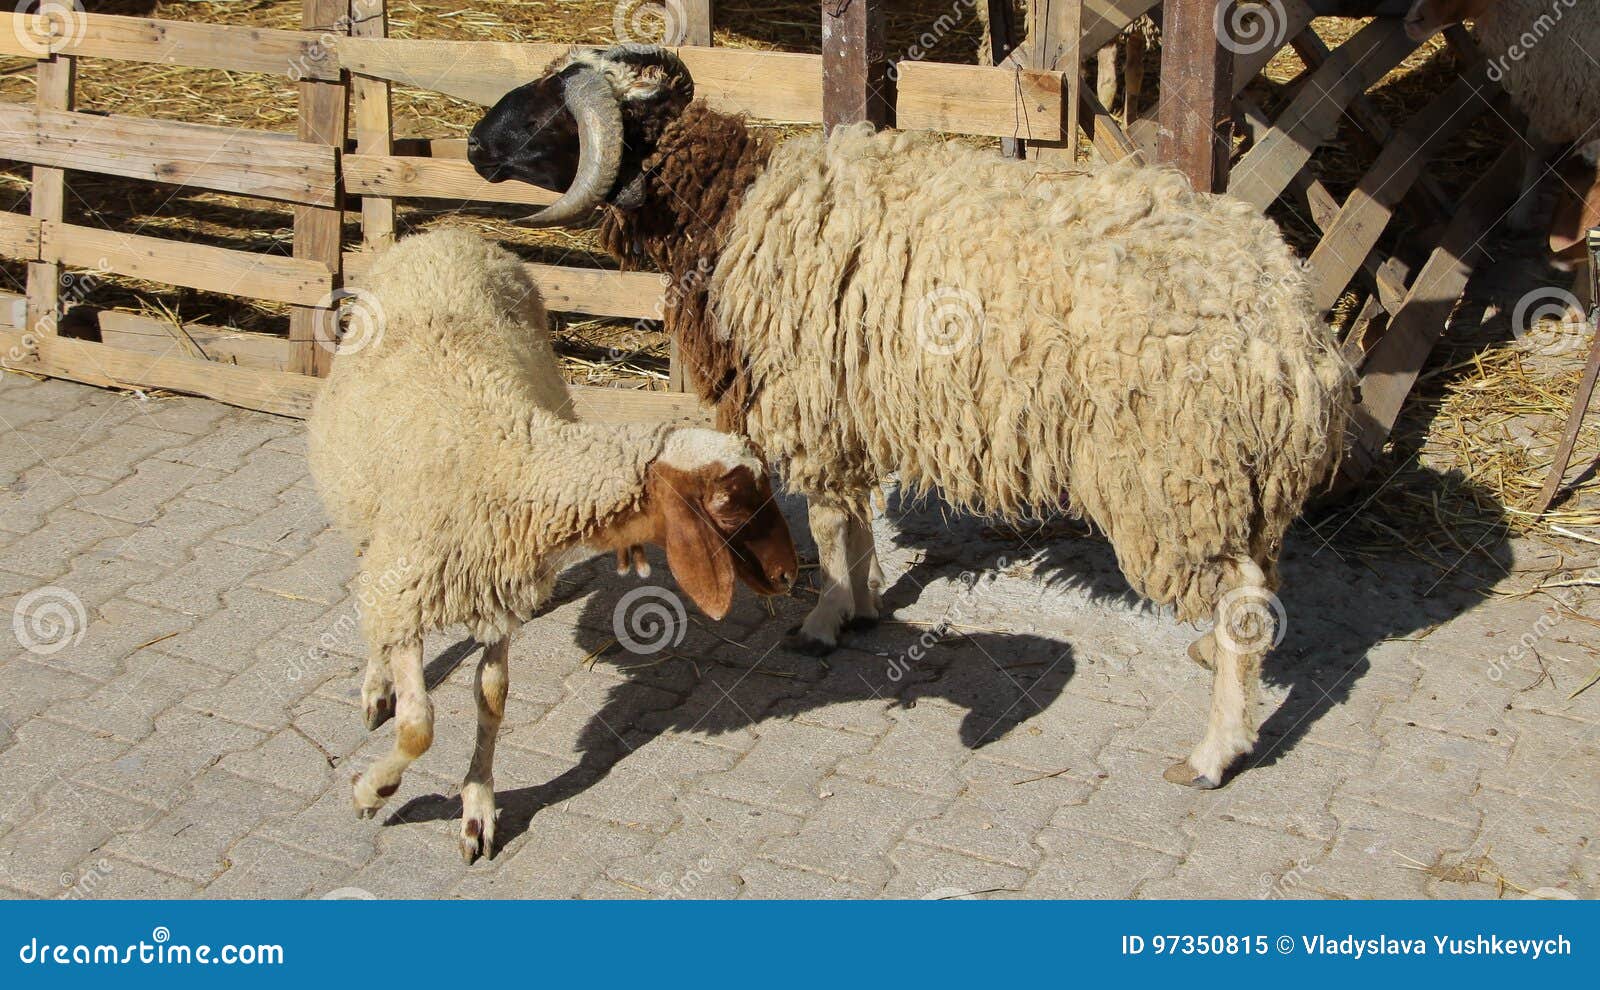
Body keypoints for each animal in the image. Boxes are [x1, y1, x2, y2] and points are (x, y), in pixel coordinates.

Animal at [306, 227, 797, 860]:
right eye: (731, 502)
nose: (789, 576)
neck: (505, 456)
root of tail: (444, 233)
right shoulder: (412, 581)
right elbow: (418, 727)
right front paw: (373, 790)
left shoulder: (496, 590)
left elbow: (491, 699)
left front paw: (478, 808)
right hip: (366, 511)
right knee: (370, 596)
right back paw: (375, 684)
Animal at [467, 45, 1353, 790]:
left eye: (551, 111)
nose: (474, 144)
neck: (737, 207)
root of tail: (1292, 325)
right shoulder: (847, 406)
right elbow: (857, 523)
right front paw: (861, 605)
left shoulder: (810, 401)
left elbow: (829, 526)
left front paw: (823, 621)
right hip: (1236, 479)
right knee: (1259, 586)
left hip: (1171, 479)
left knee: (1241, 600)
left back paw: (1213, 753)